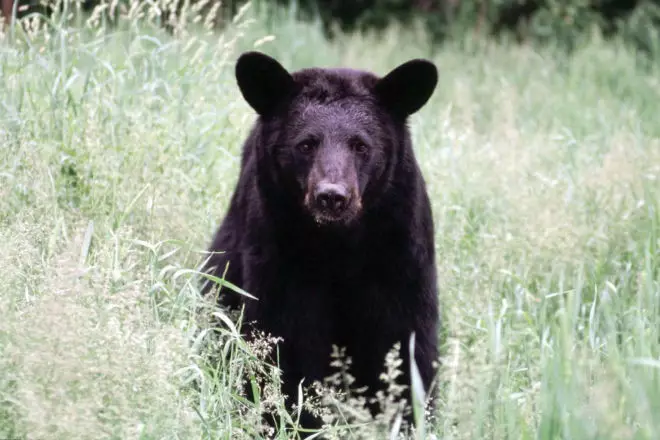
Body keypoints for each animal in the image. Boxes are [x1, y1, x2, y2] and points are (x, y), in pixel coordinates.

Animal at [201, 50, 438, 434]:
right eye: (306, 144)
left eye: (361, 145)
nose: (332, 196)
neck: (338, 244)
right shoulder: (279, 254)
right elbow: (287, 344)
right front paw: (293, 421)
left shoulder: (398, 251)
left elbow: (405, 343)